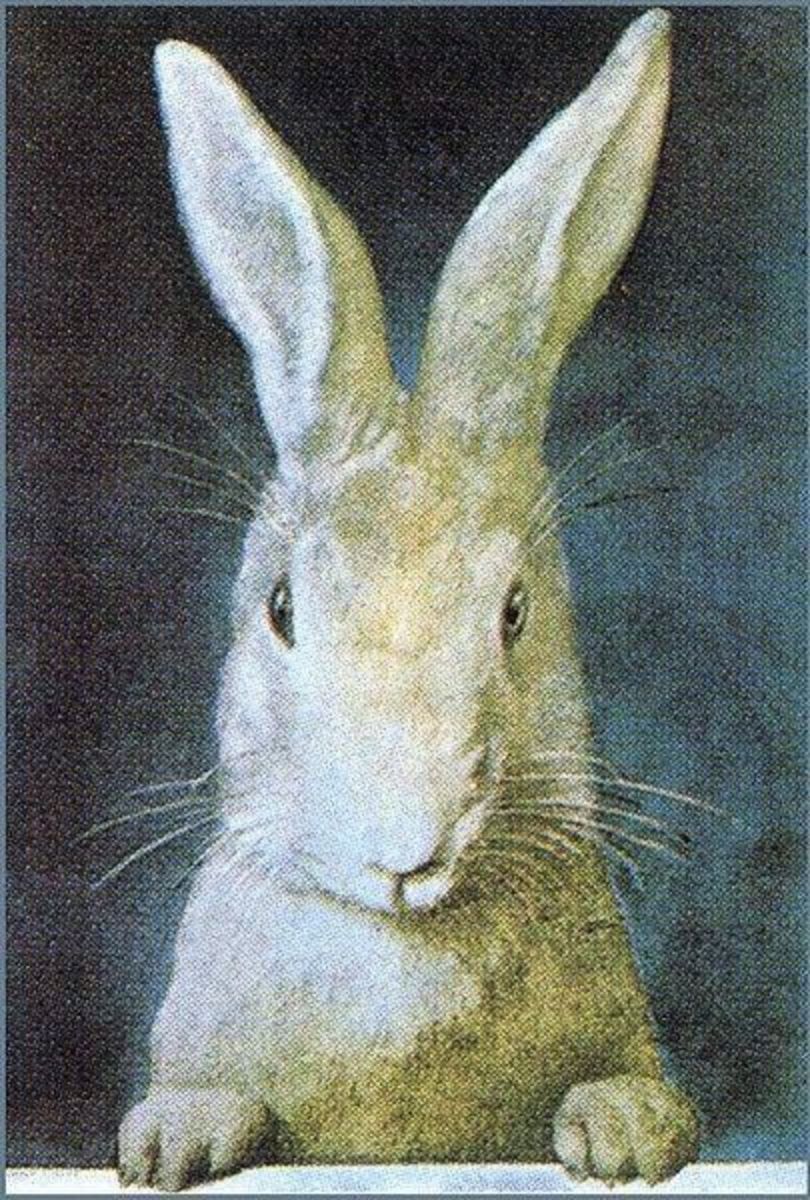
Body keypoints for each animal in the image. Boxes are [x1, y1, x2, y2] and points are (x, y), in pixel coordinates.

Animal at [119, 8, 700, 1191]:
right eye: (282, 608)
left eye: (515, 613)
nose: (403, 850)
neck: (400, 946)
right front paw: (170, 1139)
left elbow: (640, 1093)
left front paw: (622, 1129)